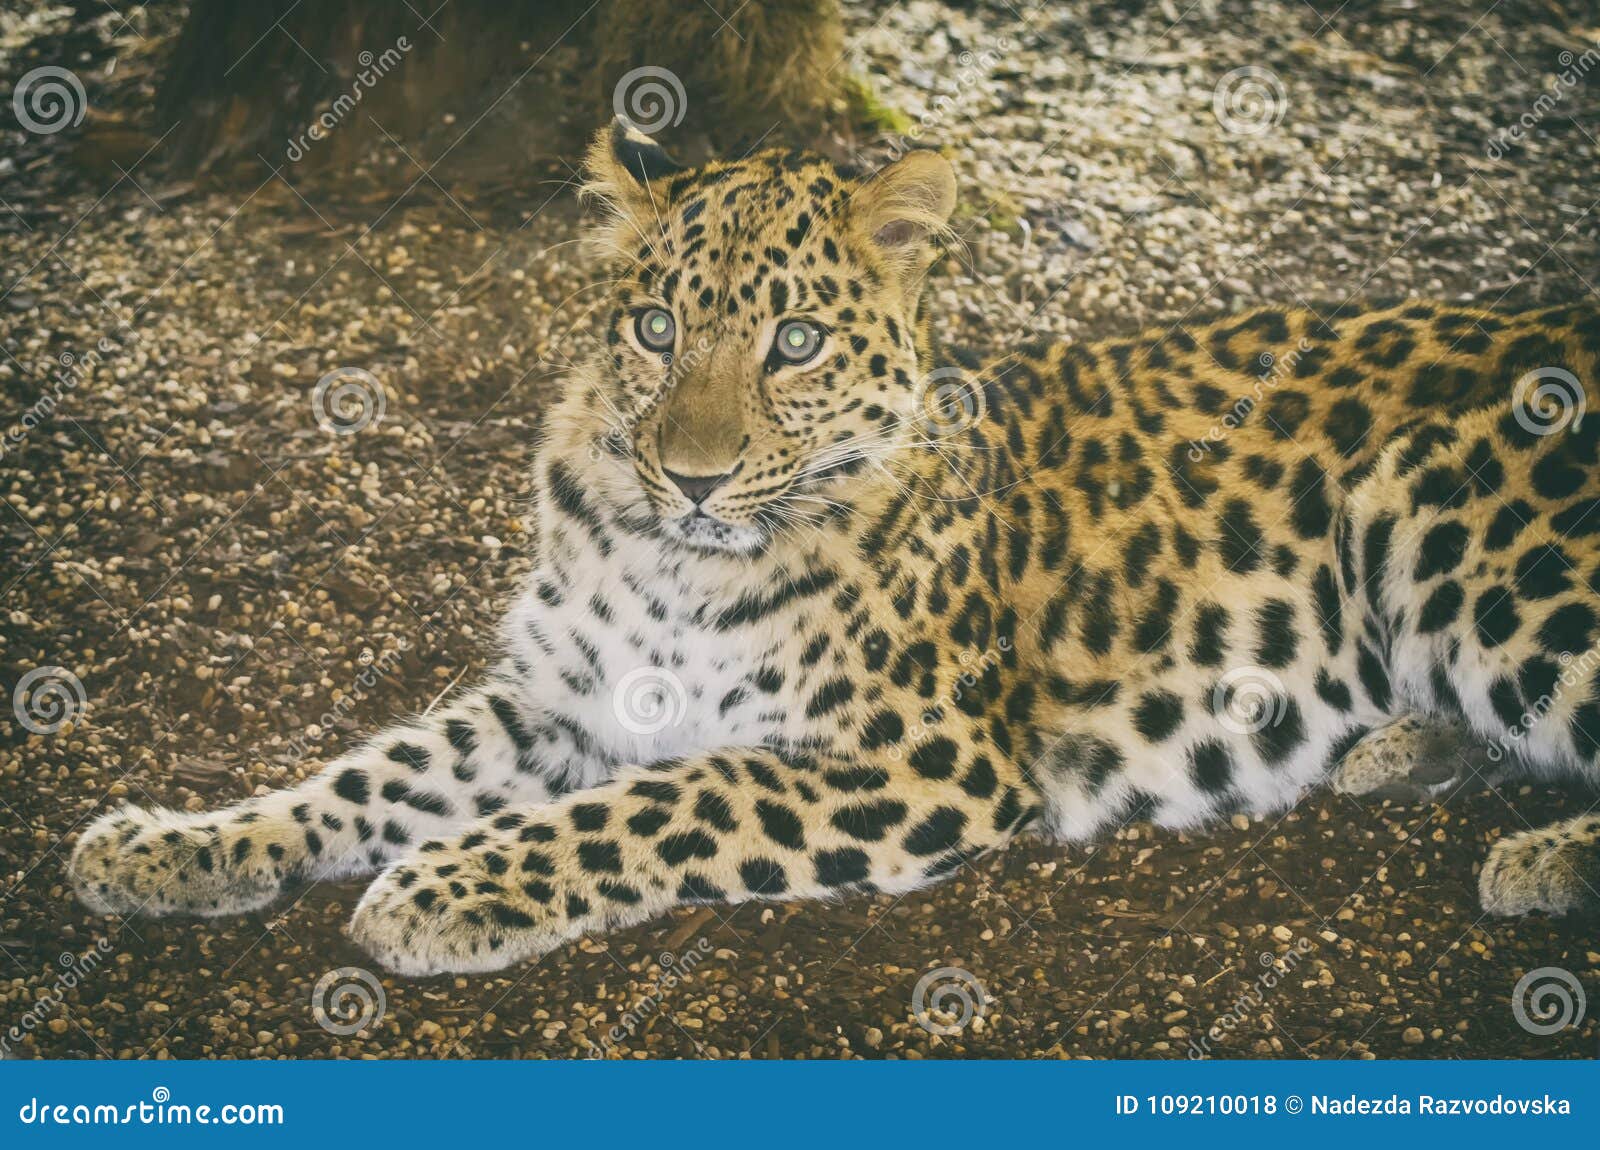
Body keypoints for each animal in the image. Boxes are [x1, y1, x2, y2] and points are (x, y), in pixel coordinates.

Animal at [70, 118, 1600, 975]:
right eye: (655, 327)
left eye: (795, 341)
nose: (690, 476)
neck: (672, 558)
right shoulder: (553, 702)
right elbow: (364, 771)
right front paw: (172, 845)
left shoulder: (917, 754)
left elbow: (652, 804)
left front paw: (440, 888)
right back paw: (1400, 749)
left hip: (1452, 524)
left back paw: (1536, 853)